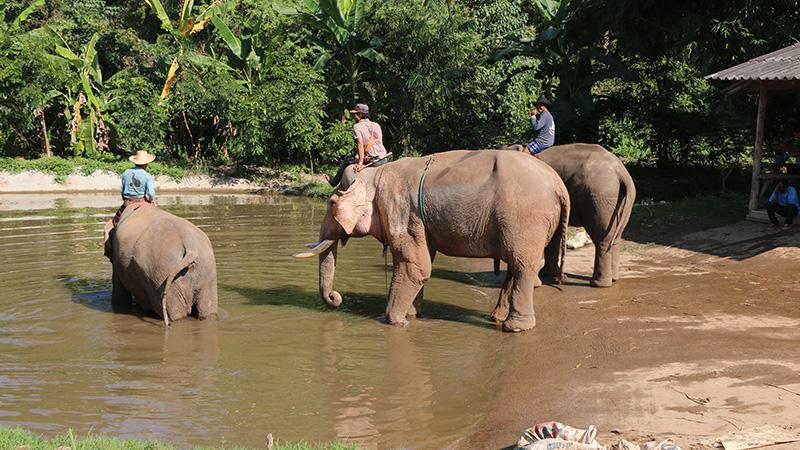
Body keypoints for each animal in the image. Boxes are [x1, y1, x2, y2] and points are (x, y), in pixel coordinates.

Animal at [294, 150, 570, 332]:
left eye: (331, 203)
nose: (336, 298)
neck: (375, 173)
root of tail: (558, 183)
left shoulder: (400, 209)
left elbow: (416, 267)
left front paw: (393, 321)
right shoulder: (416, 219)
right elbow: (420, 263)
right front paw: (413, 315)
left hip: (525, 219)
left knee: (522, 266)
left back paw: (515, 328)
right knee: (515, 265)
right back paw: (496, 319)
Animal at [501, 143, 636, 287]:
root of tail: (620, 172)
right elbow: (554, 233)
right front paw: (548, 274)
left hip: (599, 196)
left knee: (602, 237)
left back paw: (598, 284)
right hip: (620, 198)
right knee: (616, 236)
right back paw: (613, 278)